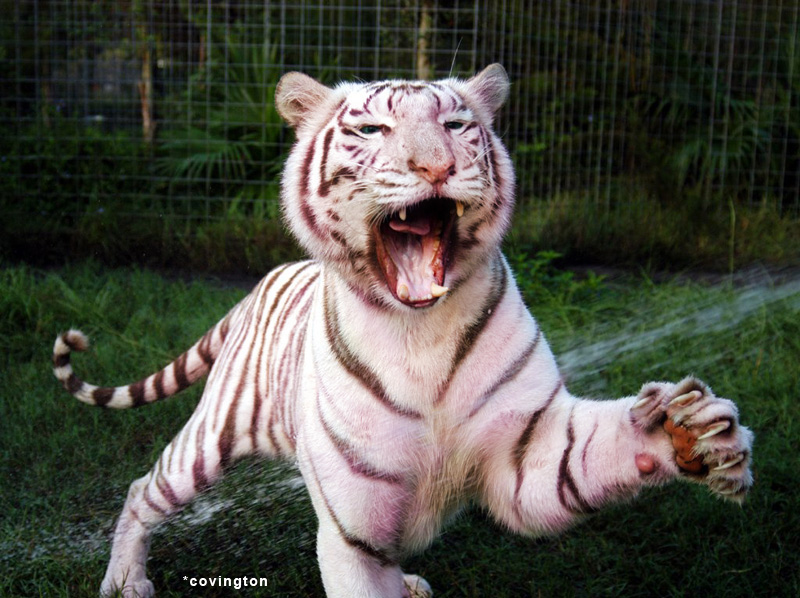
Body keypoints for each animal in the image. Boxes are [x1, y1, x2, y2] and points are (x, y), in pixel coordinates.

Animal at [53, 64, 753, 598]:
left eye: (456, 125)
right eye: (372, 129)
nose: (436, 168)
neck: (423, 334)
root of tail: (262, 281)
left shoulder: (524, 455)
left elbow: (583, 459)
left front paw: (688, 432)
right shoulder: (351, 527)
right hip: (212, 437)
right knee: (144, 488)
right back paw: (125, 580)